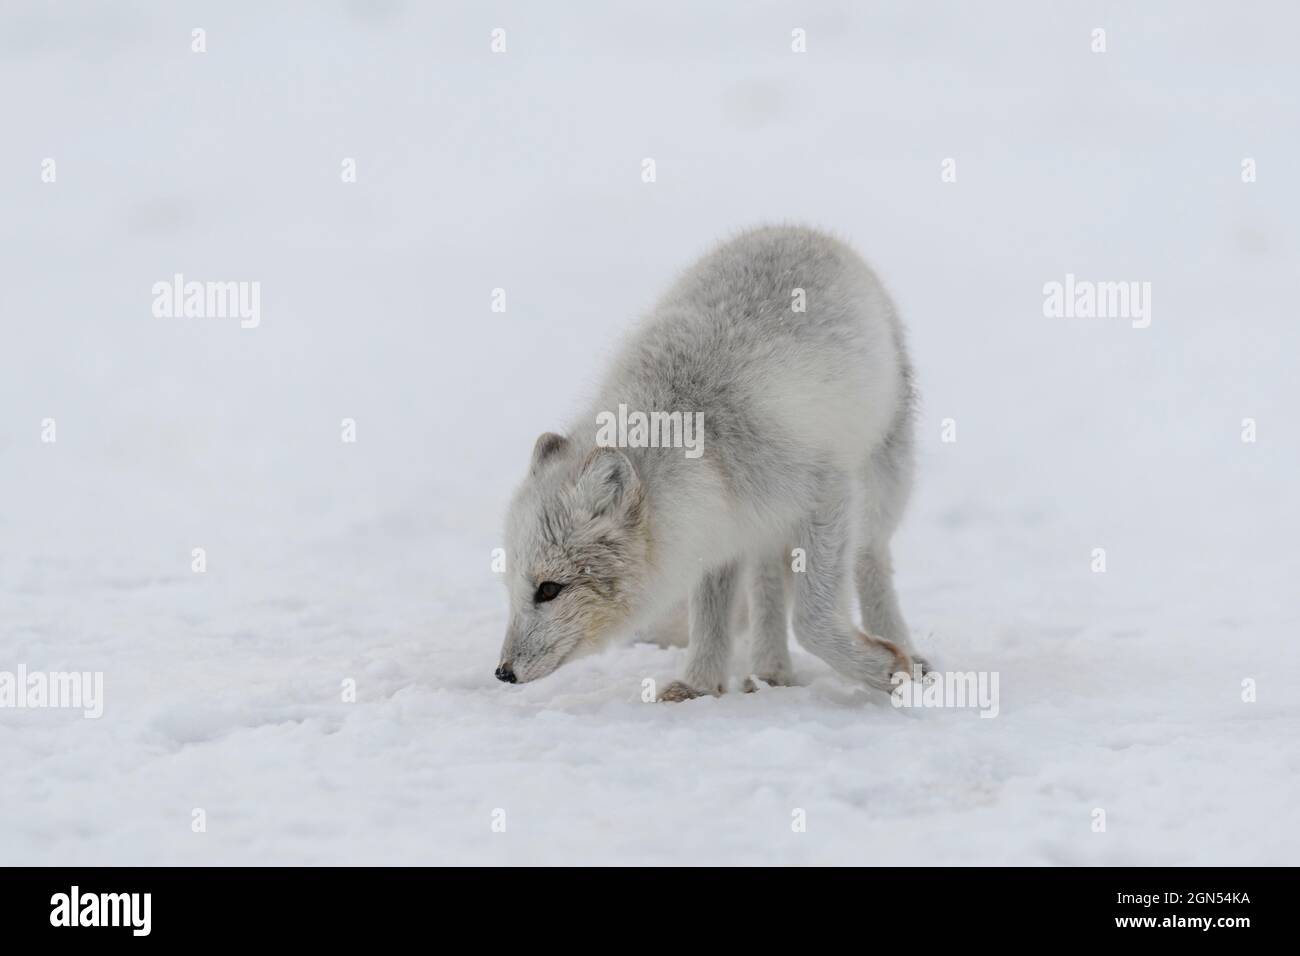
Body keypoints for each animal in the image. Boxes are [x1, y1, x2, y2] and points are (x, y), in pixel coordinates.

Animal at [497, 225, 930, 698]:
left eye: (549, 589)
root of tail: (800, 228)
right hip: (762, 528)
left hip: (877, 486)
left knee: (871, 559)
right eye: (512, 585)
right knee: (766, 582)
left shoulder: (825, 492)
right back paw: (770, 670)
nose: (503, 672)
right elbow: (710, 617)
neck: (699, 446)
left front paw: (885, 668)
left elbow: (811, 619)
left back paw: (909, 655)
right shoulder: (712, 532)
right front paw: (699, 687)